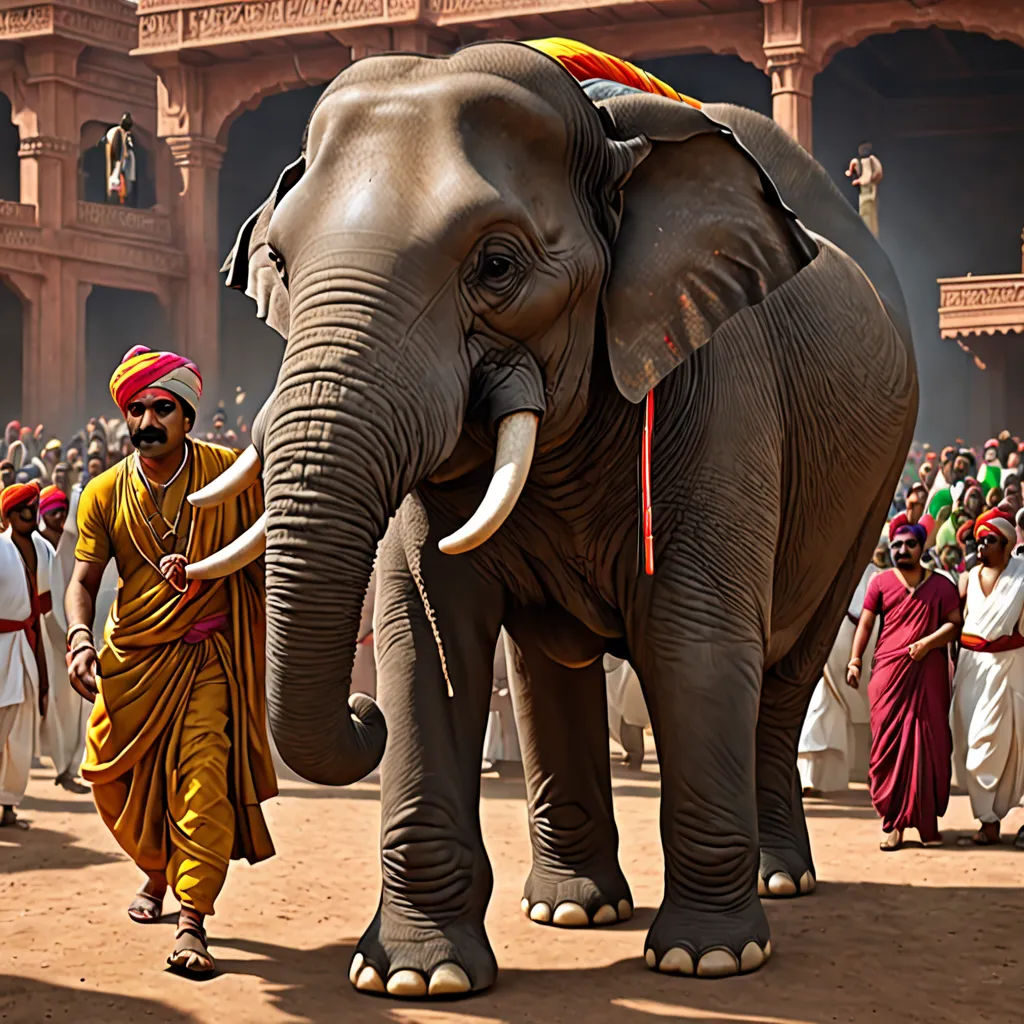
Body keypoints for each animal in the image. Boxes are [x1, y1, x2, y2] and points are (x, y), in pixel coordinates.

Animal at [188, 41, 916, 996]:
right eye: (278, 259)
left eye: (497, 267)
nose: (359, 709)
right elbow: (427, 633)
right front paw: (416, 979)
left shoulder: (720, 396)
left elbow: (696, 637)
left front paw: (708, 960)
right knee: (550, 665)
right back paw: (573, 908)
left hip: (872, 477)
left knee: (787, 663)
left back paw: (776, 884)